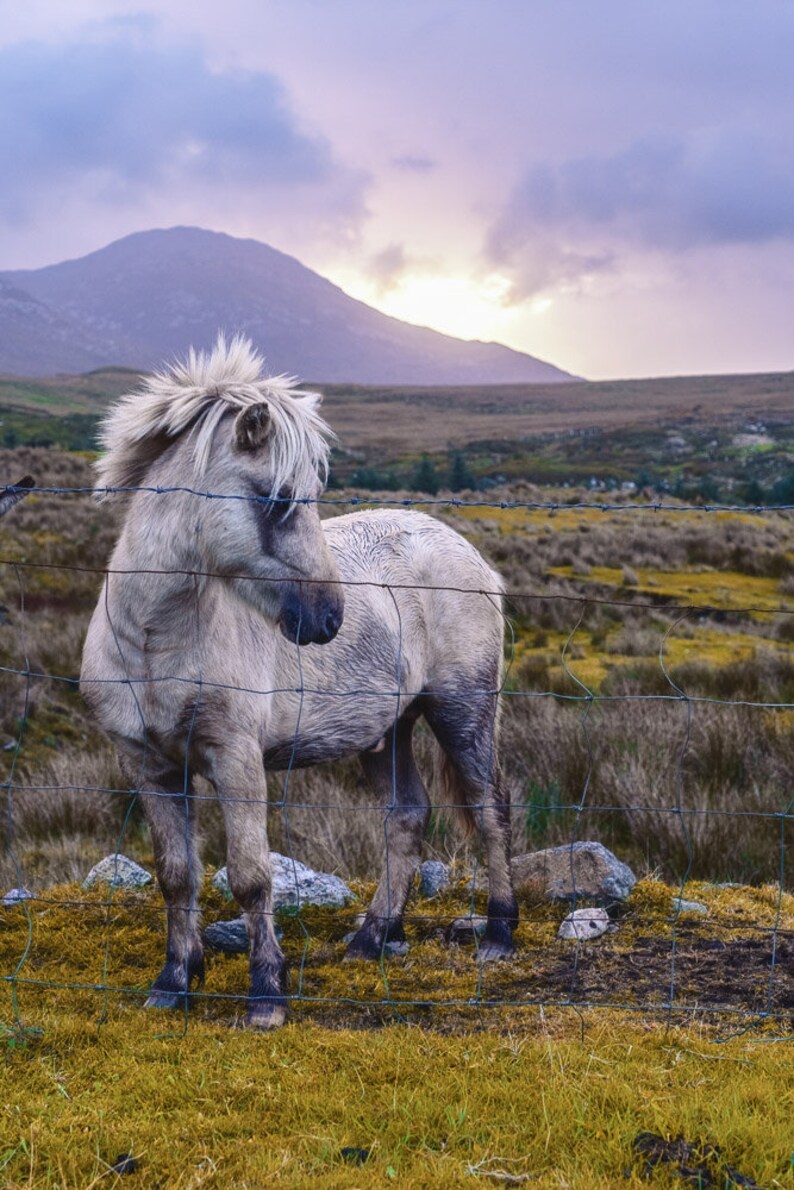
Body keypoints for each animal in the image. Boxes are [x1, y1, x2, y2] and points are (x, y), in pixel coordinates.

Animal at [80, 335, 517, 1029]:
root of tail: (469, 554)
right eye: (280, 498)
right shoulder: (148, 767)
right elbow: (177, 875)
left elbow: (251, 876)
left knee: (487, 808)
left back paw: (499, 933)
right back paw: (372, 937)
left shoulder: (236, 761)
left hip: (462, 713)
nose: (328, 618)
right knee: (407, 816)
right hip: (388, 731)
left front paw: (266, 994)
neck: (153, 641)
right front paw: (175, 981)